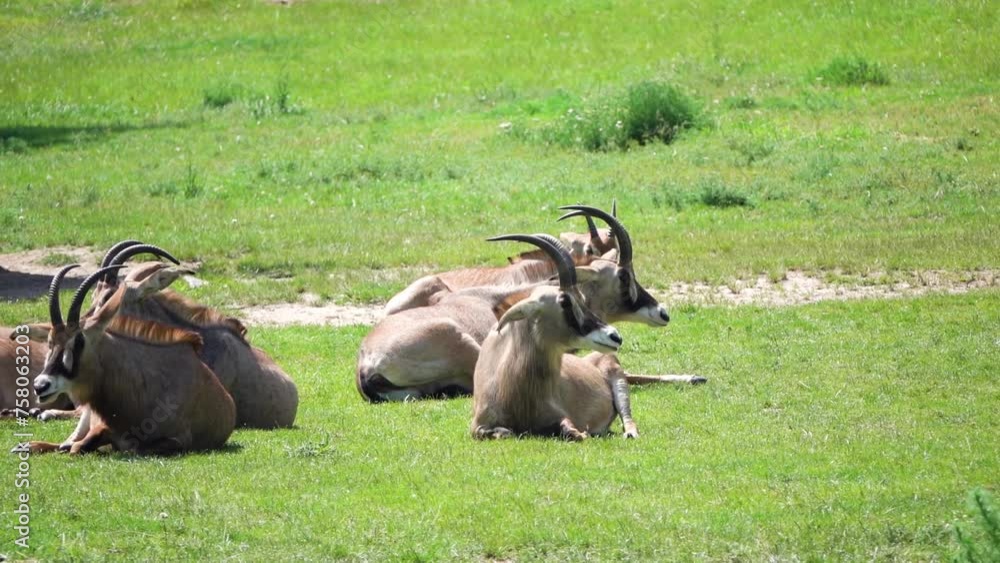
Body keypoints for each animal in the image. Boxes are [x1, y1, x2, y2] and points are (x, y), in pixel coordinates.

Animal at [23, 264, 235, 455]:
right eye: (50, 342)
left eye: (79, 340)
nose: (40, 385)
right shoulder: (101, 426)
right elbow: (78, 446)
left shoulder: (179, 440)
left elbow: (132, 448)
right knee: (66, 442)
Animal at [472, 234, 637, 440]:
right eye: (565, 302)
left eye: (581, 298)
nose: (615, 336)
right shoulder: (477, 425)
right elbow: (499, 432)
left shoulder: (561, 415)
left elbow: (570, 430)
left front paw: (581, 433)